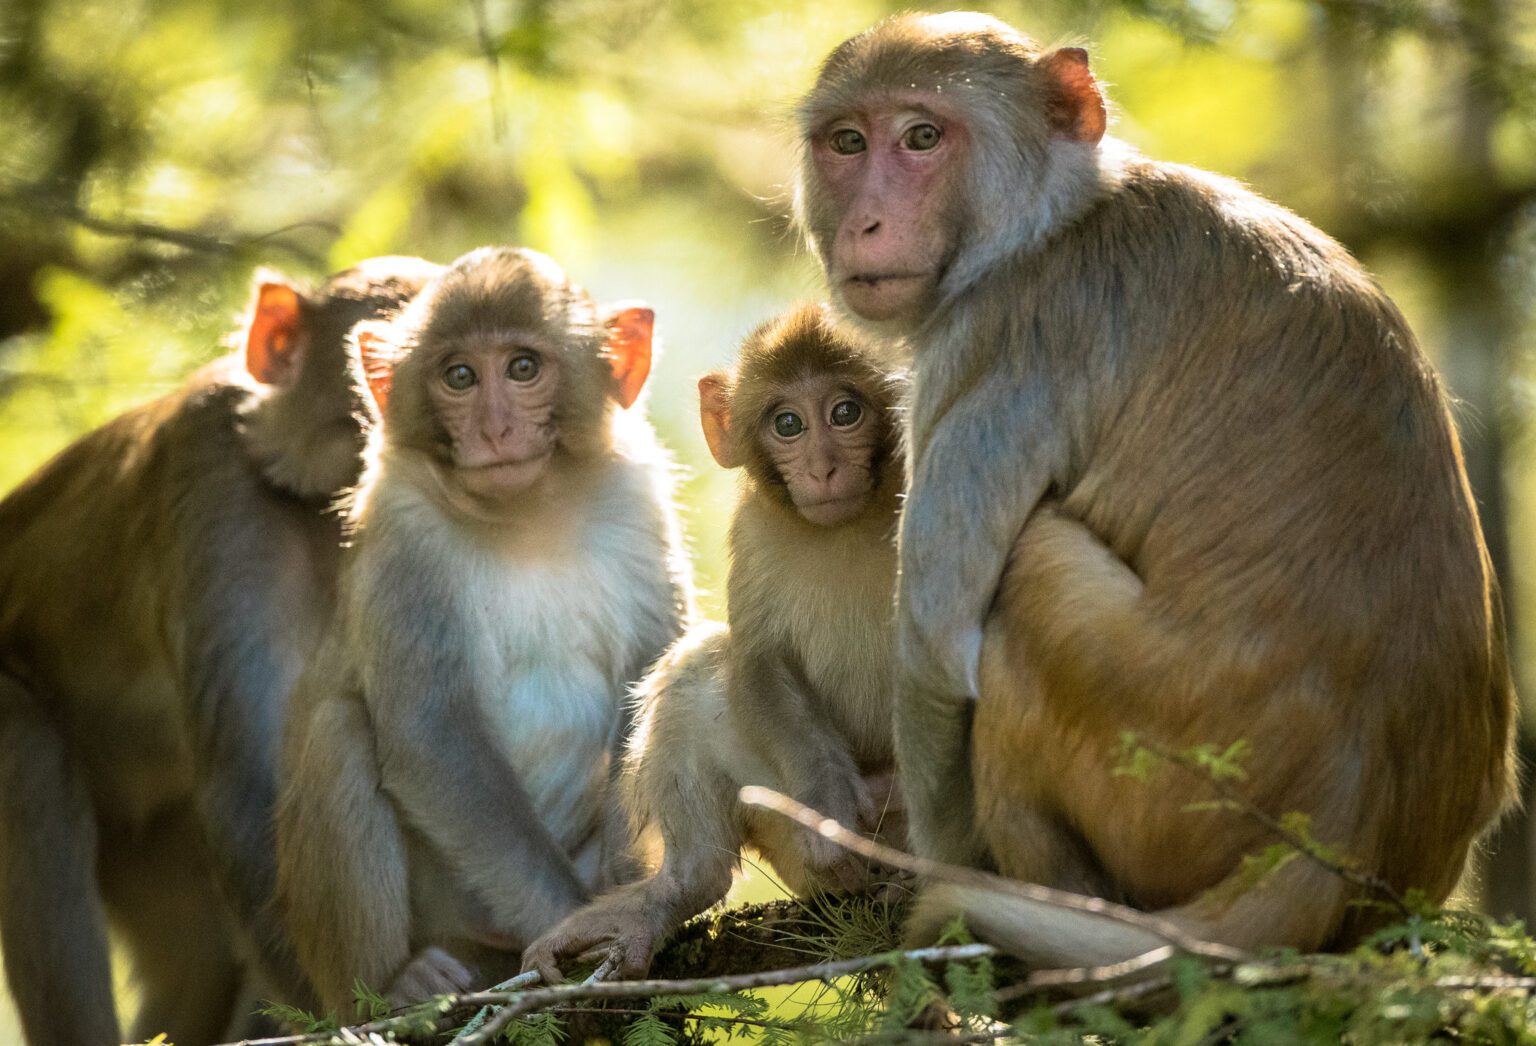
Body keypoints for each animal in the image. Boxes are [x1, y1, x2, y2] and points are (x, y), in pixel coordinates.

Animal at [0, 255, 442, 1045]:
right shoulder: (215, 499)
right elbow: (248, 793)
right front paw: (389, 994)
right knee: (29, 764)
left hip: (151, 847)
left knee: (196, 954)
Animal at [273, 246, 691, 1013]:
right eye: (459, 377)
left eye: (522, 368)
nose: (494, 430)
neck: (527, 517)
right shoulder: (405, 537)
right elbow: (432, 733)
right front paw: (577, 927)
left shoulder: (636, 504)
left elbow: (646, 690)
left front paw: (633, 911)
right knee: (340, 733)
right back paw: (392, 983)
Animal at [520, 304, 907, 982]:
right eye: (787, 424)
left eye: (845, 413)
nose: (823, 467)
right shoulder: (752, 529)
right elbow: (759, 662)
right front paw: (828, 818)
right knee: (698, 671)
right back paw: (672, 894)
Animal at [793, 12, 1517, 965]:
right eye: (847, 142)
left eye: (921, 137)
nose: (867, 225)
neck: (1056, 222)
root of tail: (1341, 840)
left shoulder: (1002, 335)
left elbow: (937, 654)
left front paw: (928, 863)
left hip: (1159, 778)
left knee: (1029, 576)